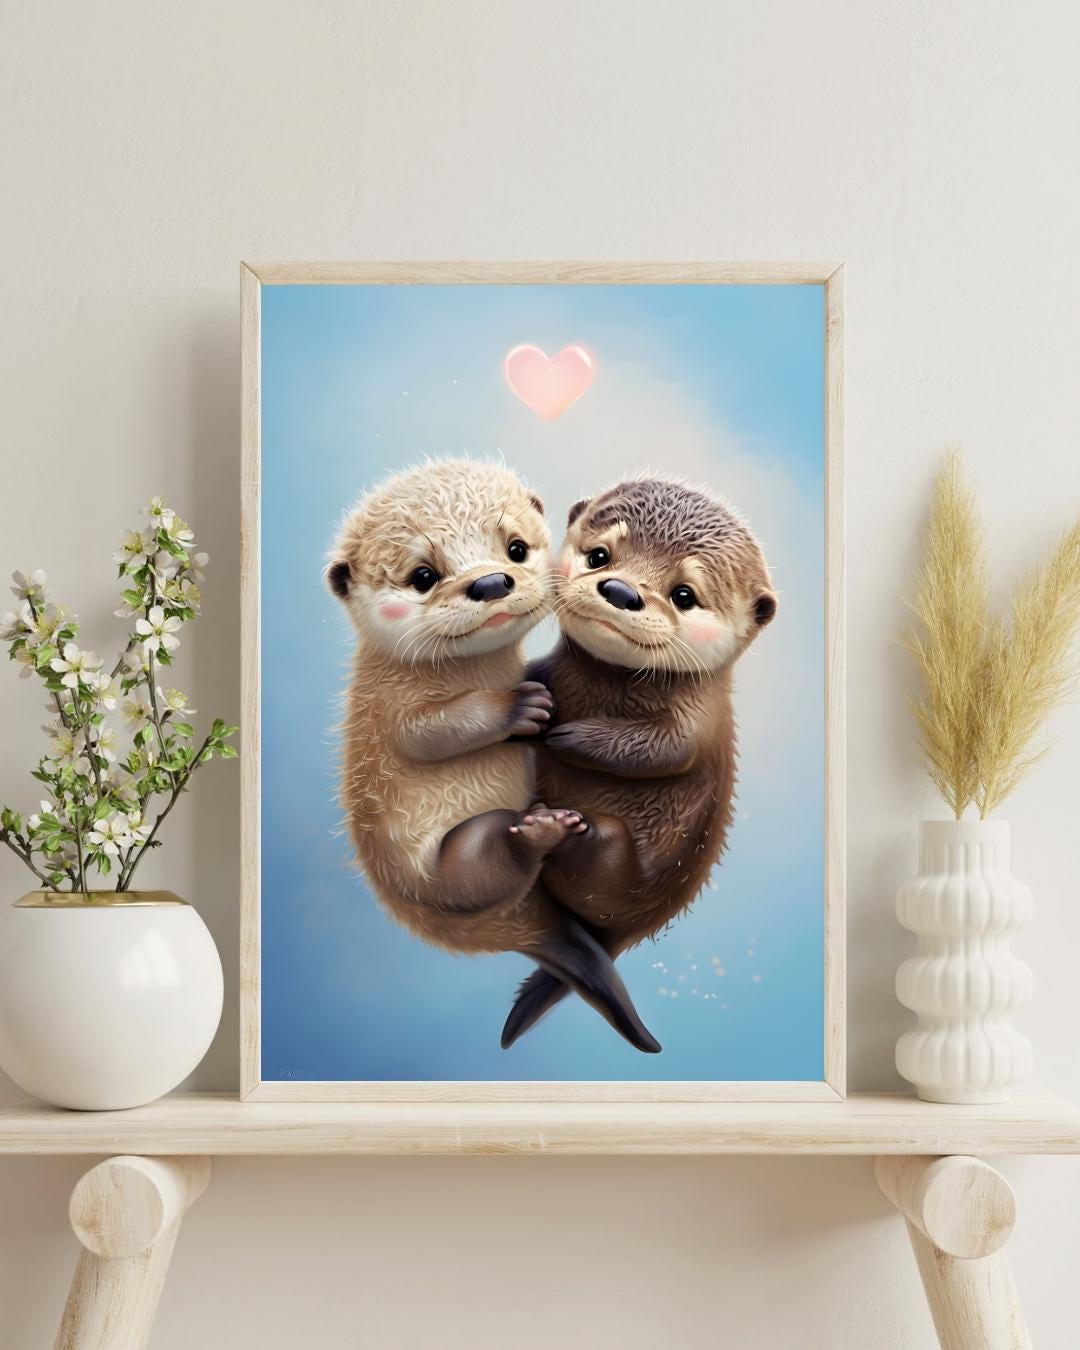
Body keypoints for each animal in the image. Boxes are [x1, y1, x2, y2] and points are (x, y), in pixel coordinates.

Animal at [327, 458, 659, 1053]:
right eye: (423, 576)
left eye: (516, 548)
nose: (489, 581)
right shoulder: (390, 708)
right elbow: (431, 732)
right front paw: (520, 708)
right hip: (451, 876)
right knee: (492, 859)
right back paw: (540, 831)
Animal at [502, 477, 777, 1047]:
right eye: (599, 555)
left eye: (684, 595)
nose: (622, 590)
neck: (605, 695)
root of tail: (623, 933)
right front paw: (530, 709)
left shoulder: (698, 721)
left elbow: (661, 750)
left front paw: (567, 736)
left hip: (618, 873)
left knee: (598, 848)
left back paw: (558, 827)